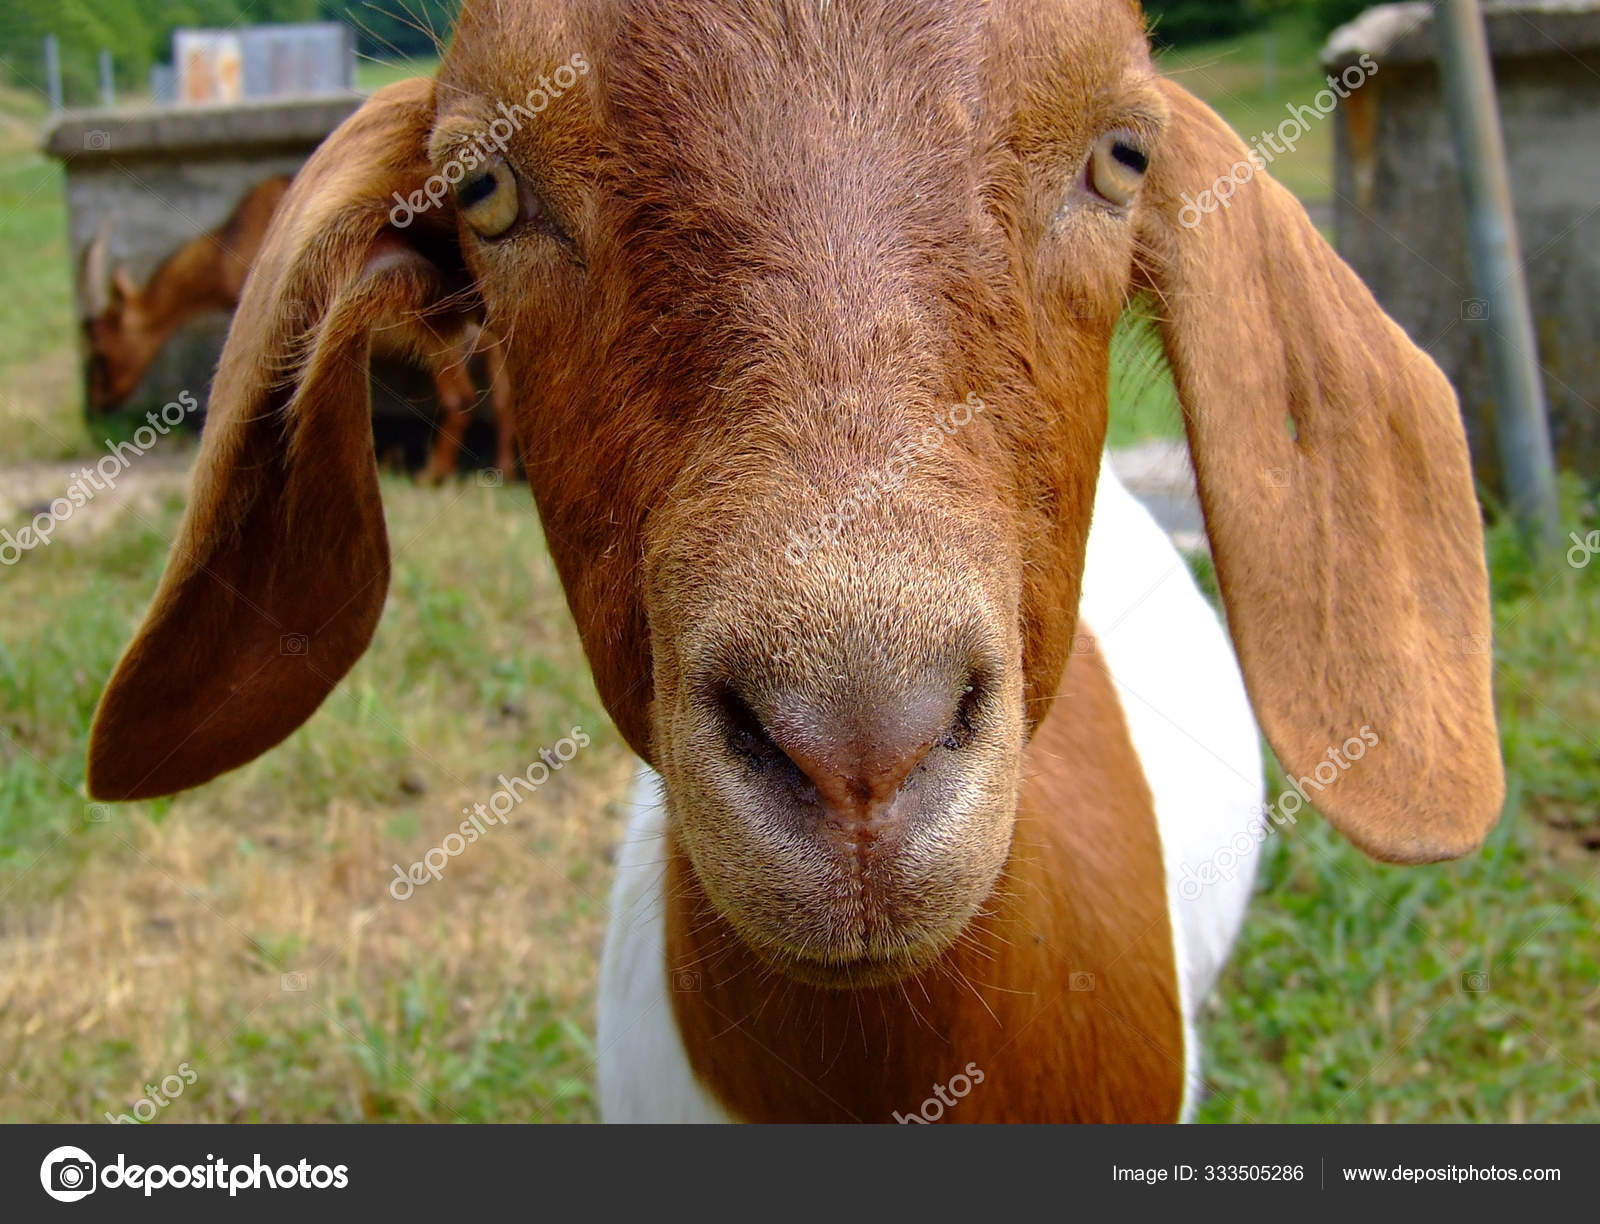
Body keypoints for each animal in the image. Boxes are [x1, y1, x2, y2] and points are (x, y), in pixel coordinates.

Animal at [79, 176, 517, 482]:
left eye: (100, 348)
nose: (100, 403)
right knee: (501, 397)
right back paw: (501, 472)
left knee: (460, 397)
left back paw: (433, 474)